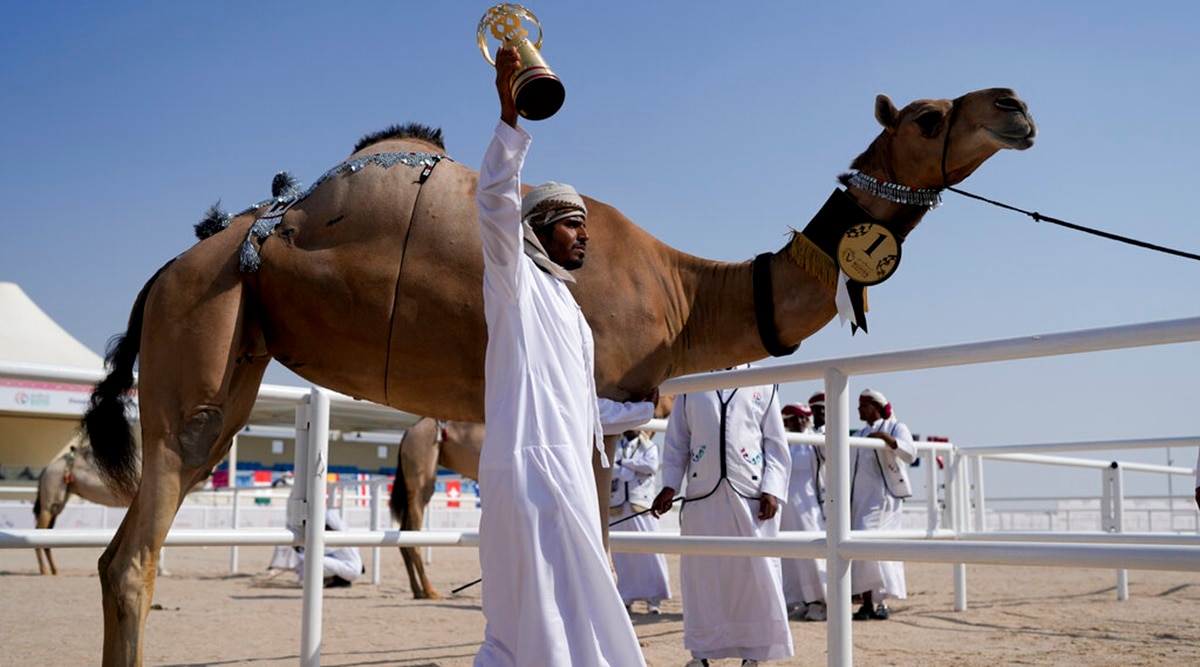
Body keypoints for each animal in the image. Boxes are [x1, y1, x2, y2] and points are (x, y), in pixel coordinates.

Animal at [83, 87, 1034, 664]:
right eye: (926, 116)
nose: (1016, 106)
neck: (688, 290)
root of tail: (166, 272)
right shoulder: (596, 396)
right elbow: (602, 546)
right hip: (206, 329)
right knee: (133, 553)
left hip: (240, 347)